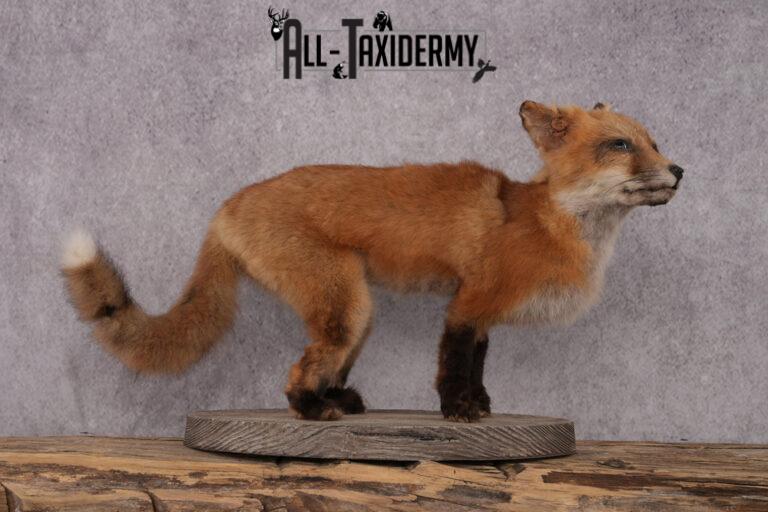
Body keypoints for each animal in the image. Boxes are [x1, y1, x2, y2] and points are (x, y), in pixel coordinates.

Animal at [62, 100, 683, 422]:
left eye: (653, 142)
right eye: (621, 146)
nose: (679, 171)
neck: (547, 220)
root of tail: (230, 205)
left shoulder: (481, 313)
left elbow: (479, 366)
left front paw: (481, 405)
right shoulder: (468, 304)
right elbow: (454, 367)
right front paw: (458, 412)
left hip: (357, 313)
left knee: (327, 366)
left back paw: (338, 399)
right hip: (348, 308)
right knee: (296, 373)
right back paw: (313, 411)